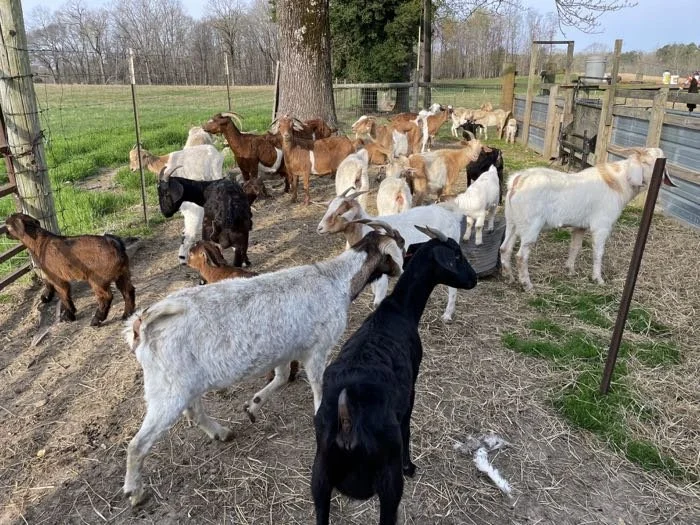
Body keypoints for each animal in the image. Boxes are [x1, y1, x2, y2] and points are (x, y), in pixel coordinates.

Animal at [4, 213, 135, 326]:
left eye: (8, 225)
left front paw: (68, 316)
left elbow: (63, 295)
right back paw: (127, 315)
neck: (40, 243)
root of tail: (115, 244)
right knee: (128, 290)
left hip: (98, 278)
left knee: (106, 297)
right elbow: (51, 285)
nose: (5, 234)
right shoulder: (52, 274)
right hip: (122, 273)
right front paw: (46, 297)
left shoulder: (57, 277)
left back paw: (96, 320)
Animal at [121, 224, 405, 507]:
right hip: (167, 388)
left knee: (194, 411)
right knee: (138, 444)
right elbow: (317, 385)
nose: (400, 271)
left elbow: (281, 376)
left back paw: (221, 433)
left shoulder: (285, 349)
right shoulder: (318, 347)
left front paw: (253, 405)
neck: (335, 279)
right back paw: (135, 492)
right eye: (398, 247)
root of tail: (142, 323)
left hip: (184, 383)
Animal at [311, 226, 478, 525]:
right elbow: (407, 425)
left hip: (319, 480)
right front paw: (410, 466)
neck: (399, 309)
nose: (475, 279)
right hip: (388, 483)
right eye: (457, 256)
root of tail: (347, 423)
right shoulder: (411, 387)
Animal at [317, 195, 466, 322]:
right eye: (328, 209)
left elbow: (378, 298)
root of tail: (453, 215)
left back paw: (447, 315)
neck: (364, 231)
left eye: (340, 213)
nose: (319, 228)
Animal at [500, 147, 674, 291]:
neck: (617, 184)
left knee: (504, 248)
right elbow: (598, 252)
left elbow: (575, 247)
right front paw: (598, 279)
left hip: (512, 221)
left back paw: (510, 278)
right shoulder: (602, 226)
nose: (659, 181)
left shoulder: (580, 226)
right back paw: (527, 285)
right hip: (531, 226)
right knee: (521, 256)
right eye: (645, 162)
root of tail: (518, 180)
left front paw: (570, 270)